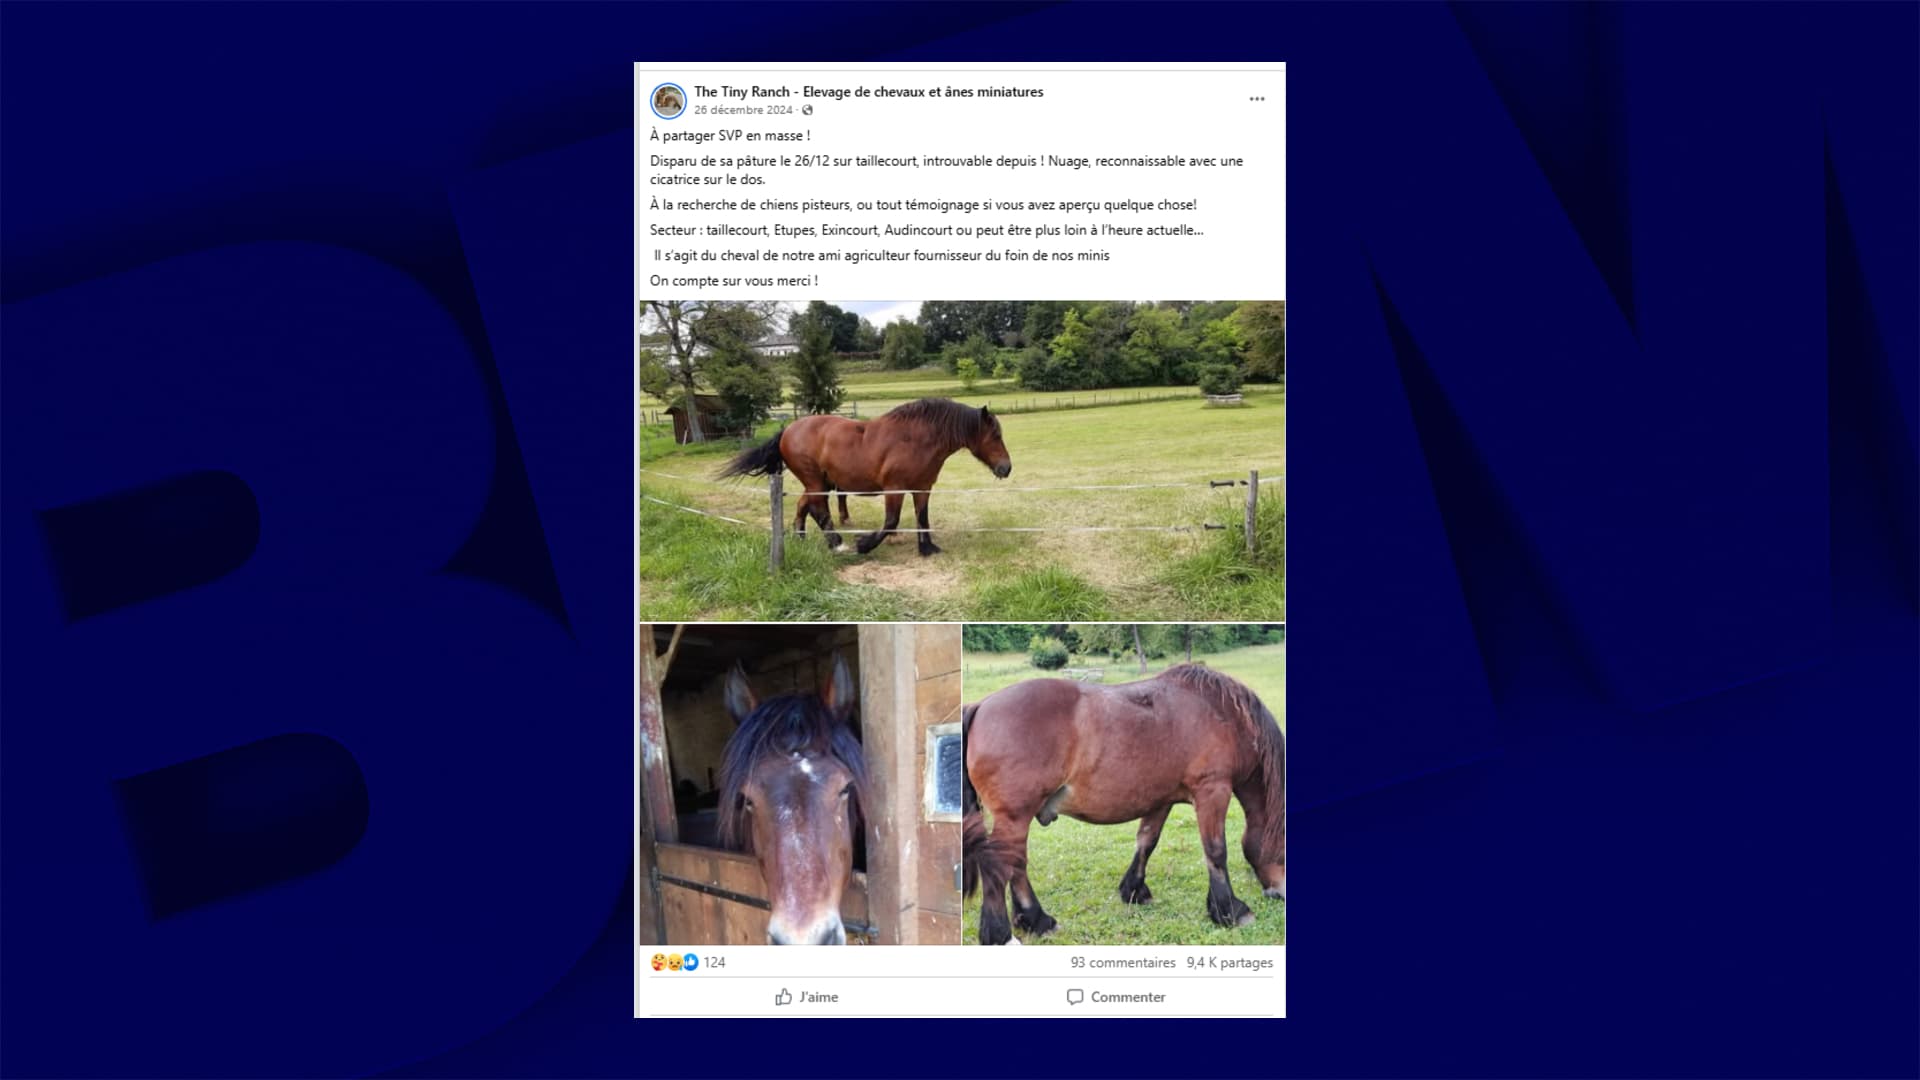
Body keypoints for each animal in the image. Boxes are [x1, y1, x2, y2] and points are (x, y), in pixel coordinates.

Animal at [718, 398, 1013, 556]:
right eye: (995, 436)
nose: (1006, 468)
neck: (916, 438)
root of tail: (787, 430)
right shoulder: (895, 488)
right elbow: (891, 522)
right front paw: (864, 544)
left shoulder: (922, 488)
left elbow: (922, 519)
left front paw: (927, 549)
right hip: (815, 482)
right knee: (819, 510)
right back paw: (837, 544)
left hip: (817, 482)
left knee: (804, 507)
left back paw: (801, 541)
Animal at [962, 664, 1285, 945]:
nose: (1280, 893)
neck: (1225, 716)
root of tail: (981, 706)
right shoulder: (1212, 791)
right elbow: (1216, 851)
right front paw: (1230, 910)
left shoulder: (1161, 800)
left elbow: (1146, 842)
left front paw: (1134, 891)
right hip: (1014, 816)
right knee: (999, 865)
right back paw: (1002, 936)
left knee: (1016, 864)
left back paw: (1037, 921)